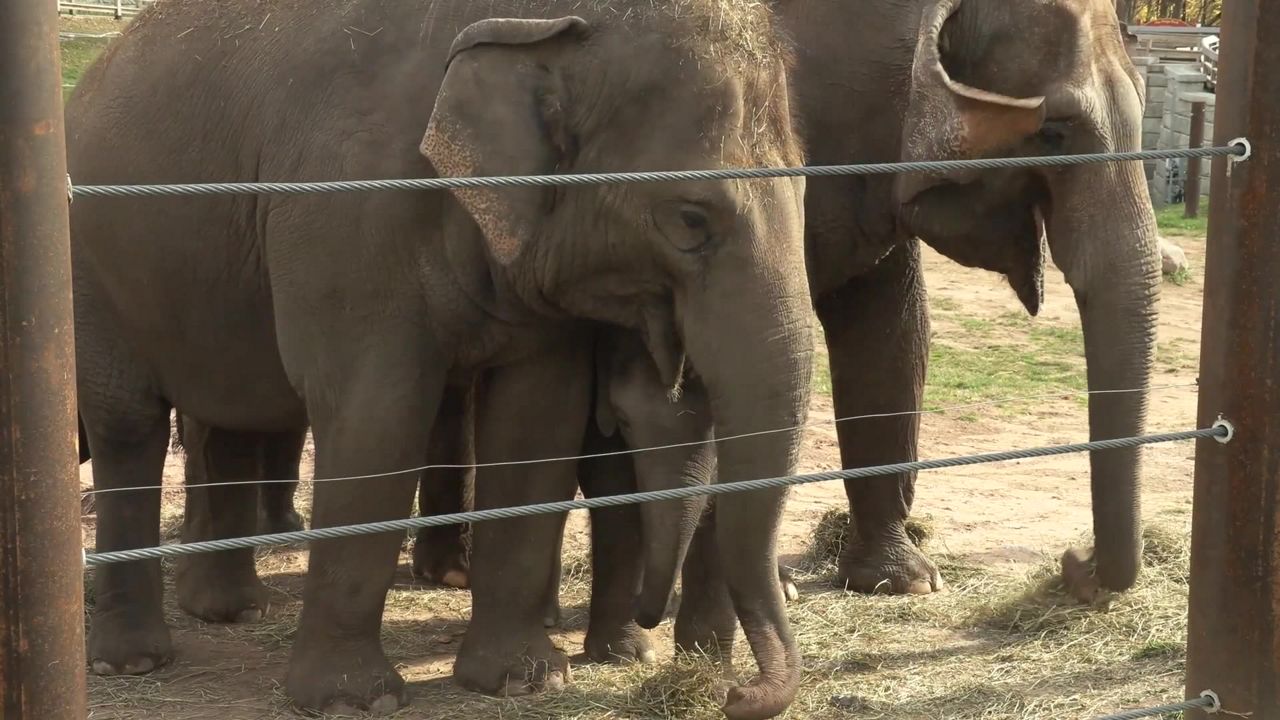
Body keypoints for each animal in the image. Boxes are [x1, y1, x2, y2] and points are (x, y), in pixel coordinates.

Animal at [66, 1, 814, 717]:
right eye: (691, 219)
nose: (733, 694)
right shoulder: (348, 213)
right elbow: (378, 418)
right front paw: (352, 700)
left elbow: (538, 421)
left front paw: (522, 681)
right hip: (92, 271)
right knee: (127, 424)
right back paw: (131, 661)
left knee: (228, 415)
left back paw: (230, 611)